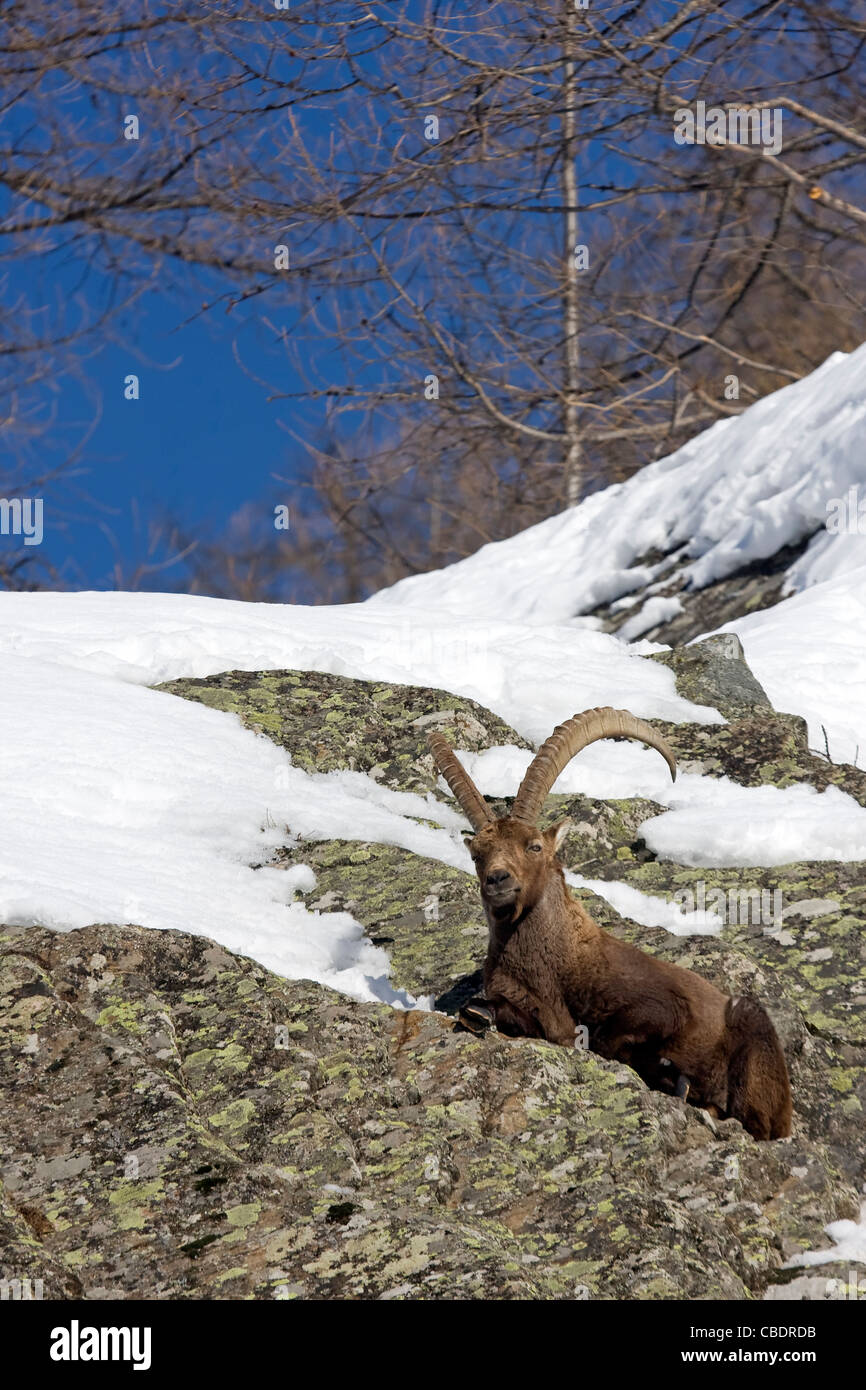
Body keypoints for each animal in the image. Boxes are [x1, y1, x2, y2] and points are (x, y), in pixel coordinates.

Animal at [428, 708, 792, 1141]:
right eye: (477, 855)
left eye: (534, 845)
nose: (497, 879)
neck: (557, 960)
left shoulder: (660, 1005)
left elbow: (610, 1038)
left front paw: (673, 1078)